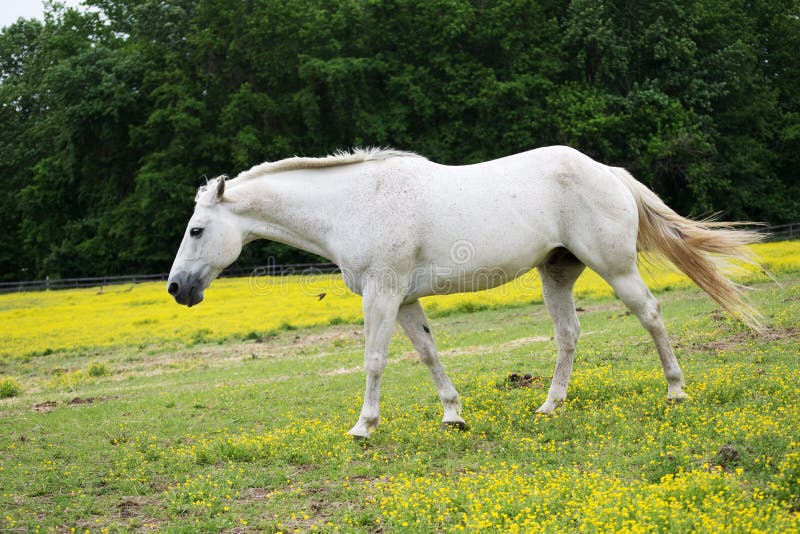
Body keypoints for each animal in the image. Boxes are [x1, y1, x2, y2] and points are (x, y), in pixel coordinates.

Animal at [167, 146, 762, 439]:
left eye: (196, 230)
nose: (177, 288)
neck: (353, 203)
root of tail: (607, 171)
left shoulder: (382, 295)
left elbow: (375, 360)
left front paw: (364, 427)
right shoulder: (404, 300)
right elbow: (429, 354)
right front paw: (453, 416)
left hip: (614, 268)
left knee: (651, 315)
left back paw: (676, 391)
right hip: (556, 273)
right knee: (568, 336)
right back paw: (549, 406)